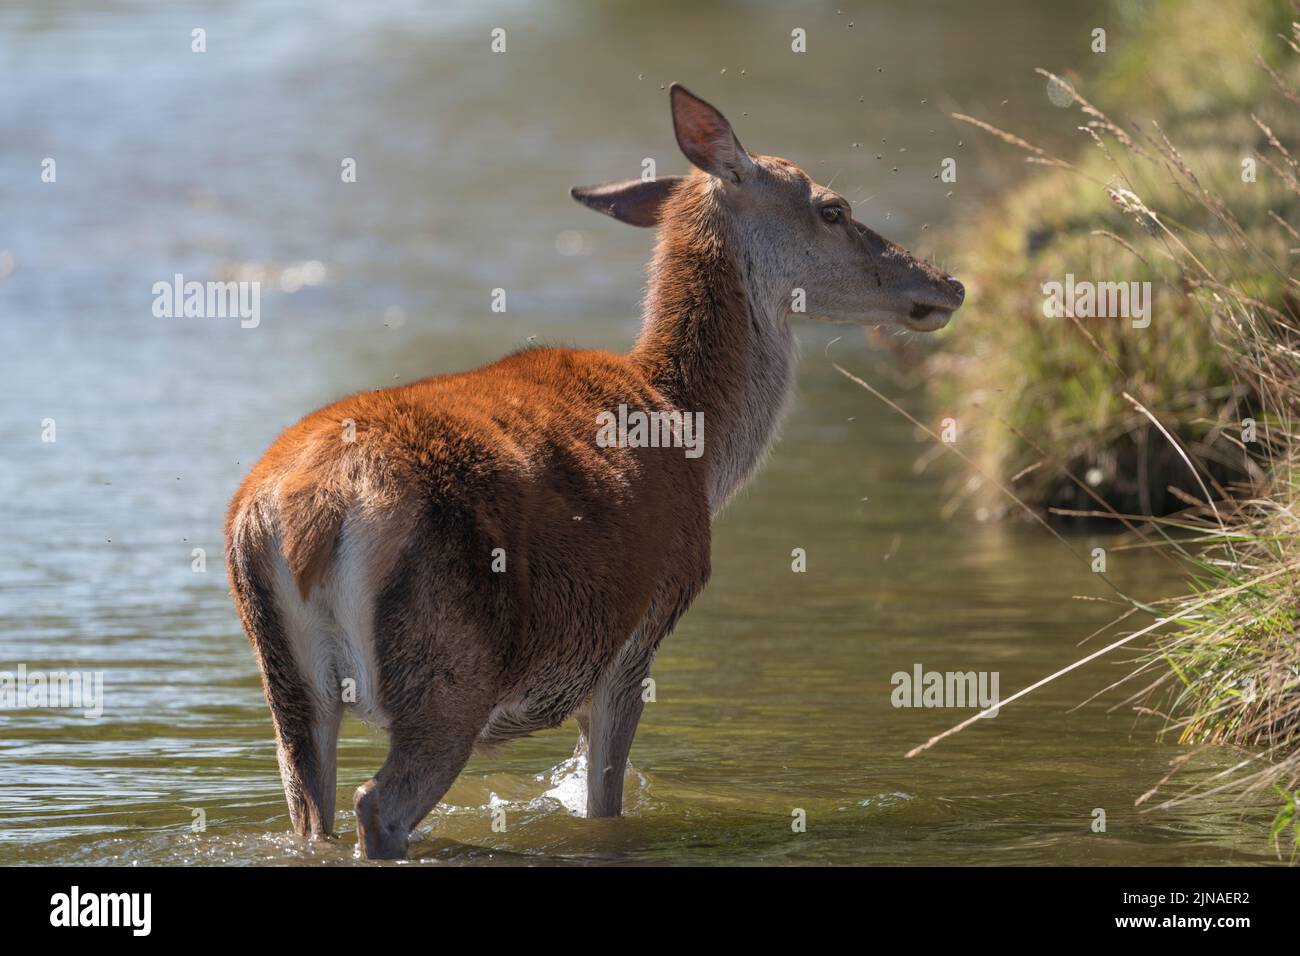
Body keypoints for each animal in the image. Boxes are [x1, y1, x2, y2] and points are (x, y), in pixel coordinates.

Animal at [224, 84, 964, 860]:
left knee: (310, 813)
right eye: (834, 208)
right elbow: (605, 807)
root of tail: (305, 513)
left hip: (286, 684)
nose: (949, 284)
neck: (697, 442)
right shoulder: (635, 641)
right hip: (450, 666)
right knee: (378, 803)